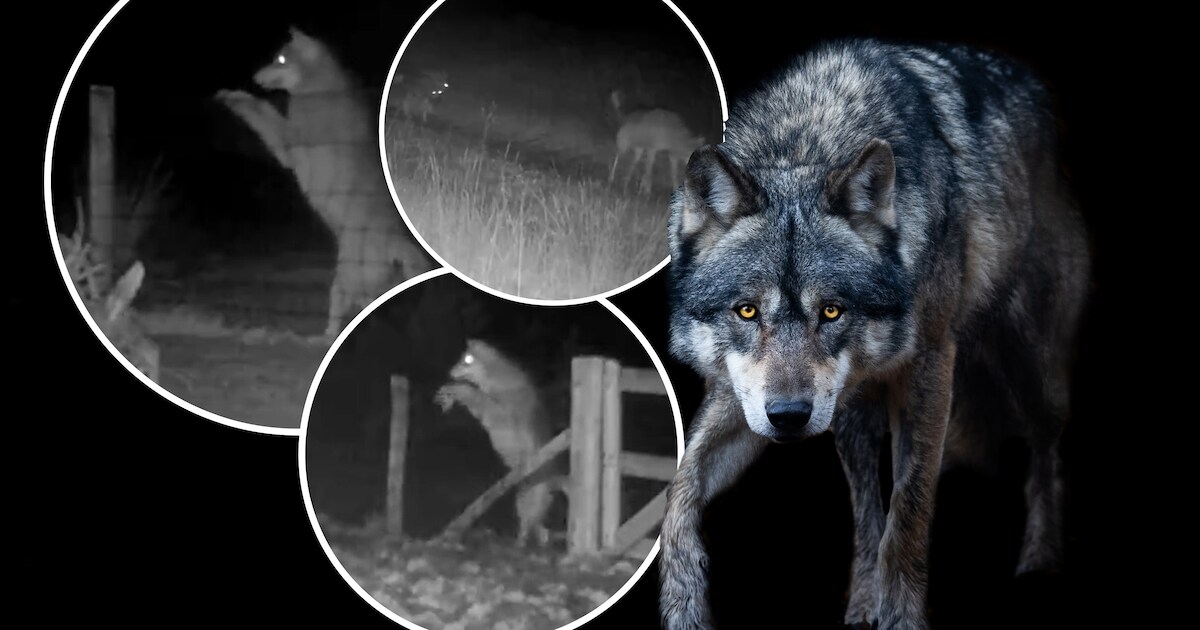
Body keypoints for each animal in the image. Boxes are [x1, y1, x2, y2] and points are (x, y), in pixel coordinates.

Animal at [215, 27, 434, 337]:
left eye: (281, 59)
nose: (255, 76)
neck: (317, 92)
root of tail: (399, 242)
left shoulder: (288, 143)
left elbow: (258, 108)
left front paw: (232, 96)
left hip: (349, 278)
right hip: (349, 281)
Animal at [434, 338, 567, 546]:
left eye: (467, 359)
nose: (450, 371)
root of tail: (555, 480)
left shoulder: (500, 415)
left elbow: (473, 393)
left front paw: (454, 389)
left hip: (530, 503)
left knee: (534, 532)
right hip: (523, 503)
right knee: (539, 532)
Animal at [658, 40, 1090, 630]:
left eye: (832, 311)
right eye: (746, 312)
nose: (788, 416)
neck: (808, 139)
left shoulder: (930, 364)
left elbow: (907, 511)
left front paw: (902, 615)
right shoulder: (740, 395)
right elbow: (678, 492)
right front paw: (683, 605)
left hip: (1030, 370)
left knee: (1044, 451)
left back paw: (1040, 560)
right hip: (851, 416)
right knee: (867, 507)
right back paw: (862, 603)